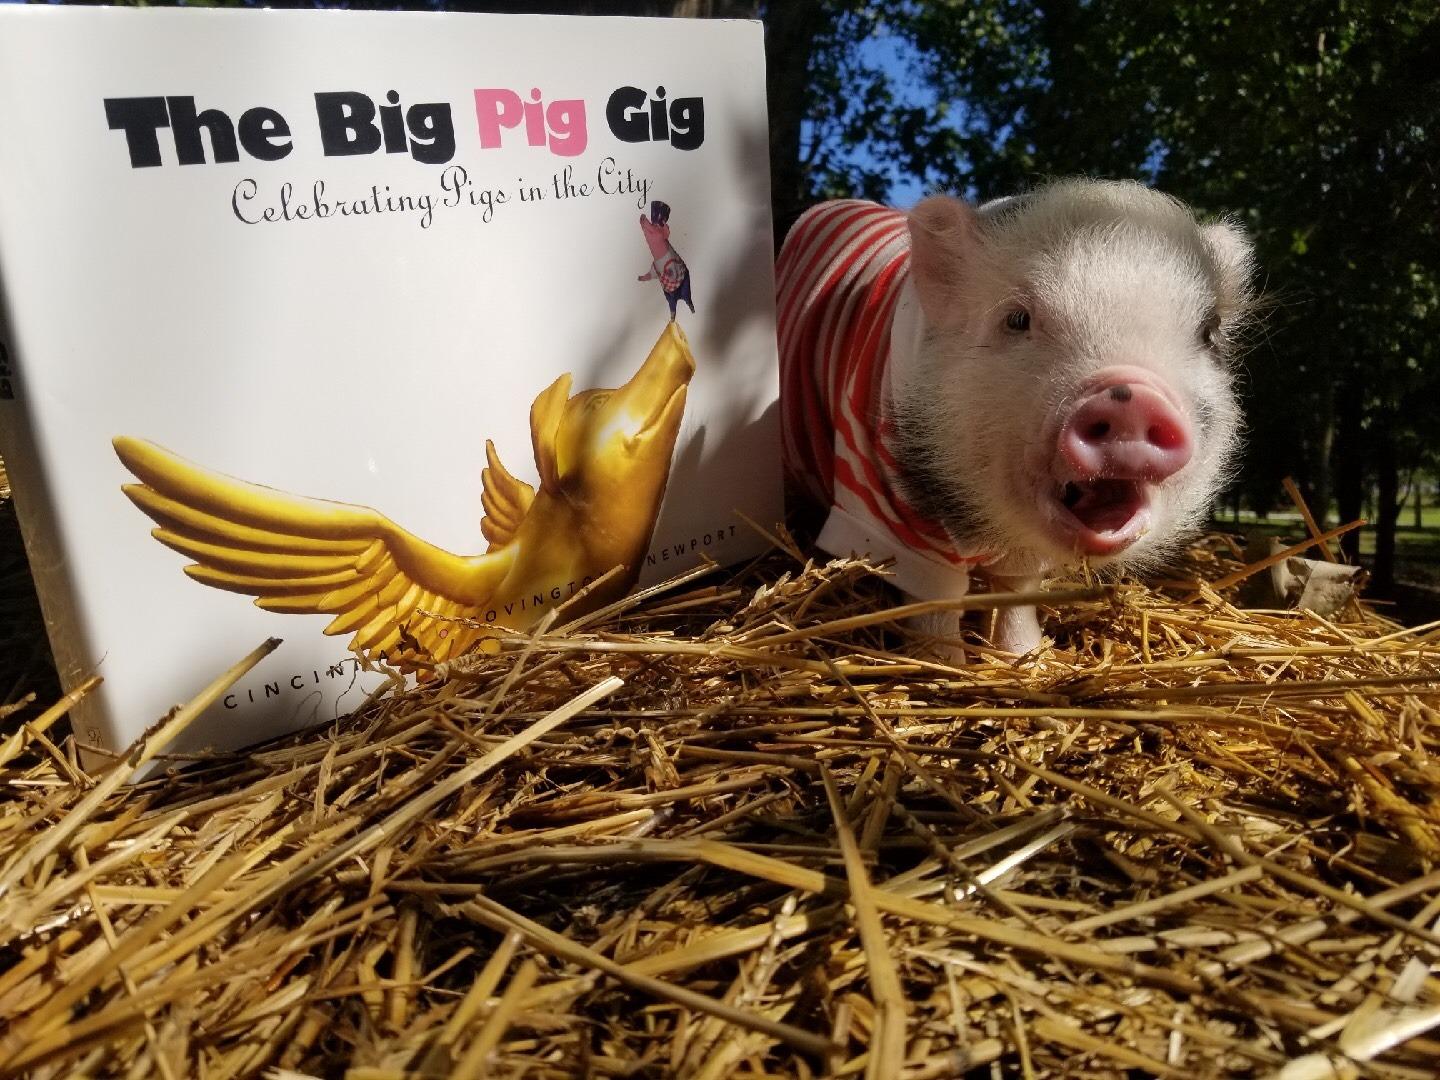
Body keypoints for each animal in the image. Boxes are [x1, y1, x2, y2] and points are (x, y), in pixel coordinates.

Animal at [776, 179, 1254, 657]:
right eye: (1018, 319)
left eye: (1209, 333)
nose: (1129, 396)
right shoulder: (883, 497)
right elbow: (933, 599)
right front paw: (944, 663)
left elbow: (1016, 593)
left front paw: (1026, 654)